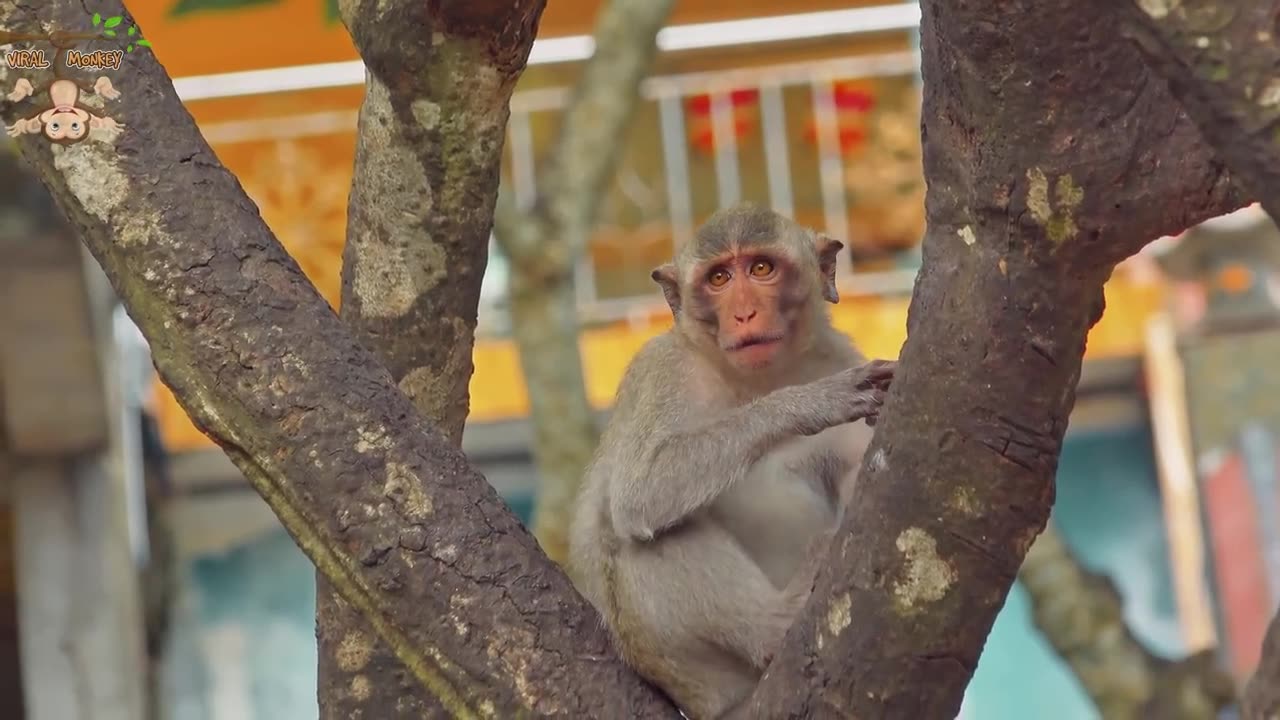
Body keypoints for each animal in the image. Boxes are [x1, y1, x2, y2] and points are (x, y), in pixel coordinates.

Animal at [568, 202, 896, 719]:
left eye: (761, 269)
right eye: (719, 278)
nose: (744, 313)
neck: (755, 380)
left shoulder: (838, 353)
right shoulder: (663, 368)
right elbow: (640, 492)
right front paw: (807, 403)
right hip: (694, 674)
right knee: (639, 537)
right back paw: (776, 622)